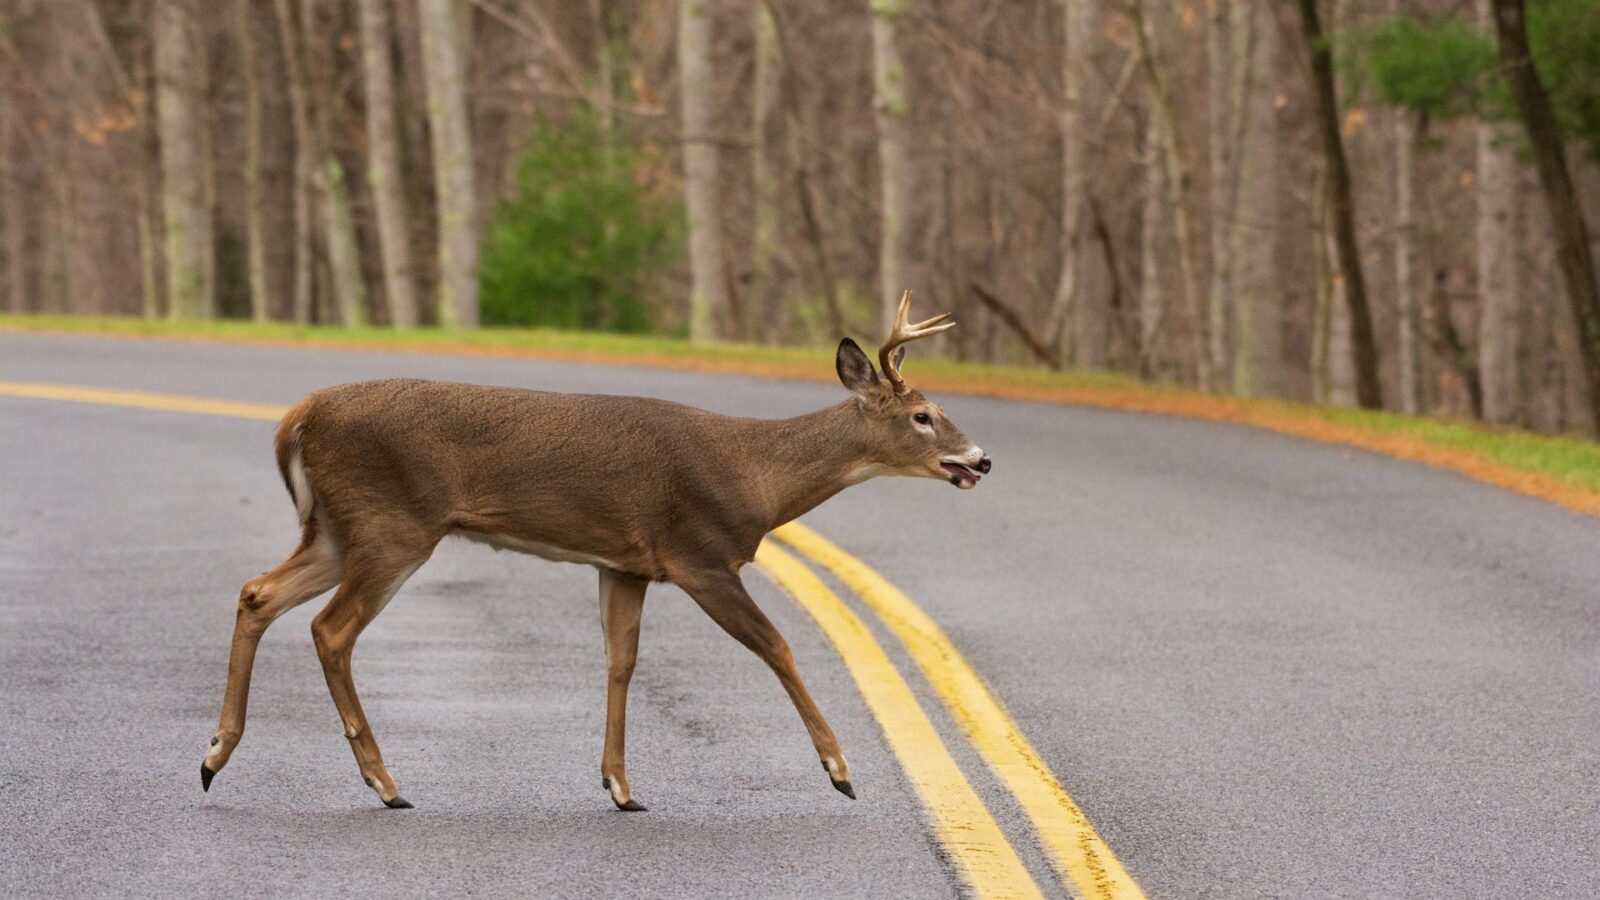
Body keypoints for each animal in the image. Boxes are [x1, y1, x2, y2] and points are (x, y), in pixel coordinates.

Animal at [200, 291, 991, 811]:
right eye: (924, 416)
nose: (981, 460)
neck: (756, 480)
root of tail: (298, 417)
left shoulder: (625, 564)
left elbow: (621, 662)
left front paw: (619, 785)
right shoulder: (700, 554)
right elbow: (776, 646)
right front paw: (839, 768)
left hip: (338, 530)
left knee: (257, 592)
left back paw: (215, 757)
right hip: (391, 524)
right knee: (330, 629)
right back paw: (384, 784)